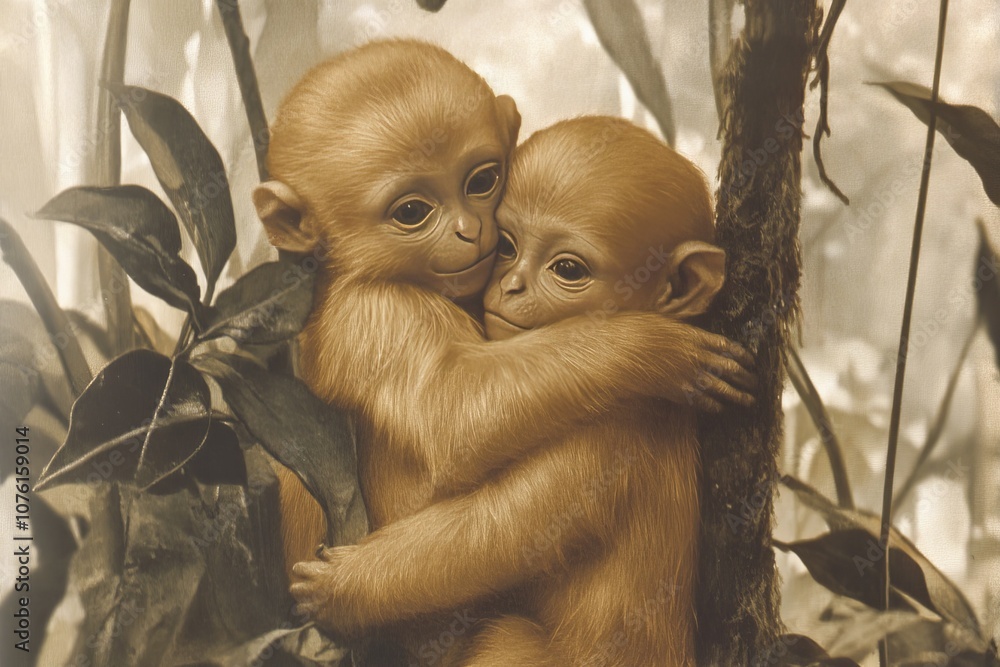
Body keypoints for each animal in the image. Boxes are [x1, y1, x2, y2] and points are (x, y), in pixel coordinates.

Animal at [253, 40, 753, 661]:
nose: (474, 236)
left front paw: (343, 587)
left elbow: (497, 526)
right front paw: (655, 346)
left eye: (482, 180)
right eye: (412, 212)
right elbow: (453, 414)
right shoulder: (377, 312)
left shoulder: (611, 433)